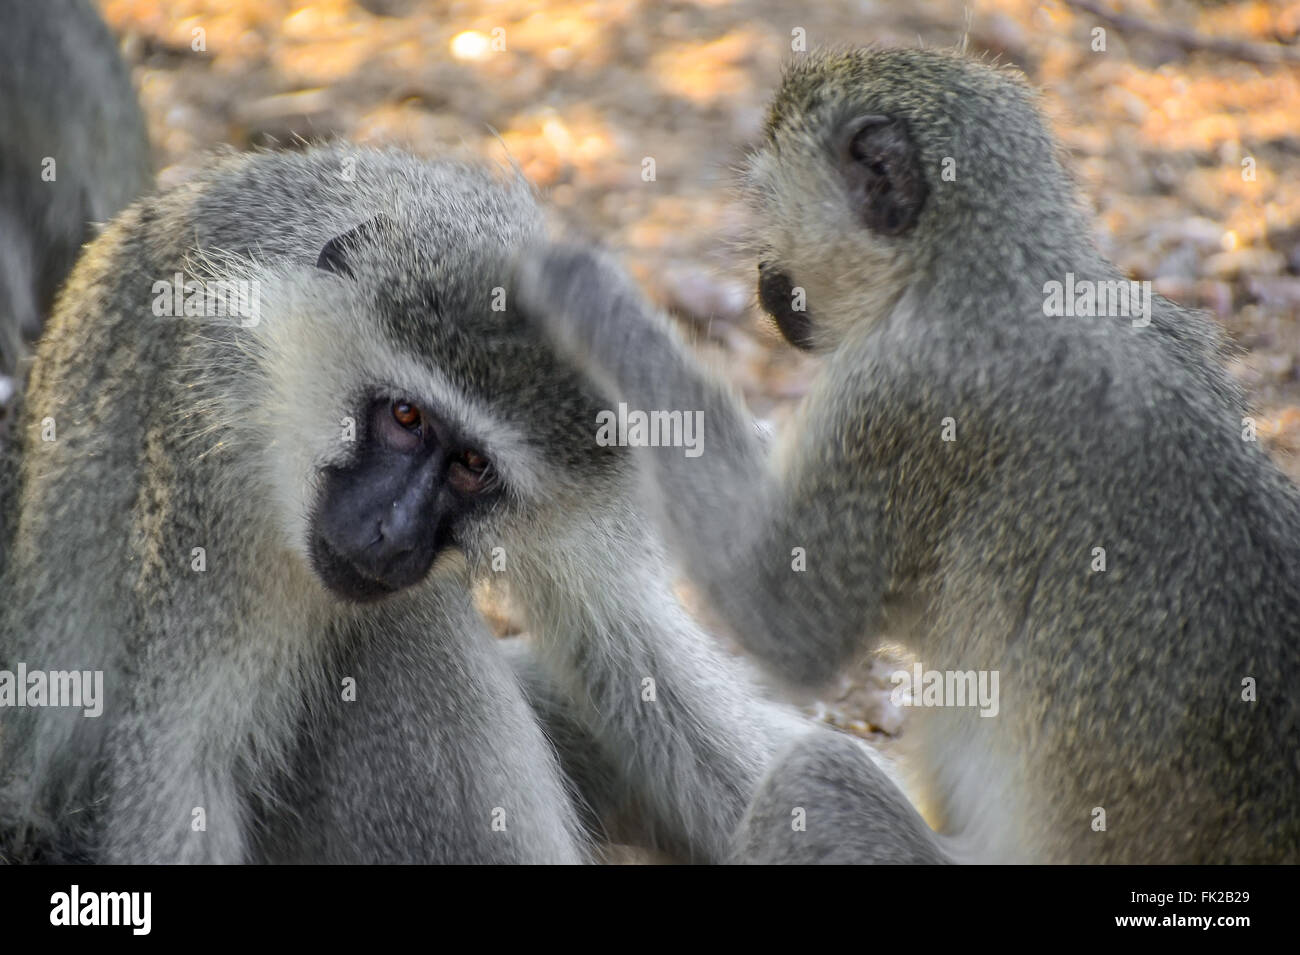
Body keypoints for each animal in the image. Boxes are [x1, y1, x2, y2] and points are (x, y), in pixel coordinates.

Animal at [0, 142, 836, 864]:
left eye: (472, 467)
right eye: (406, 418)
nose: (390, 529)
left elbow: (642, 664)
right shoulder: (209, 466)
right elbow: (179, 770)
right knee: (407, 625)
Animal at [514, 47, 1300, 864]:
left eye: (767, 201)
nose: (761, 274)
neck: (985, 267)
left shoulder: (894, 396)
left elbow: (786, 622)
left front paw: (587, 295)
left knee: (815, 784)